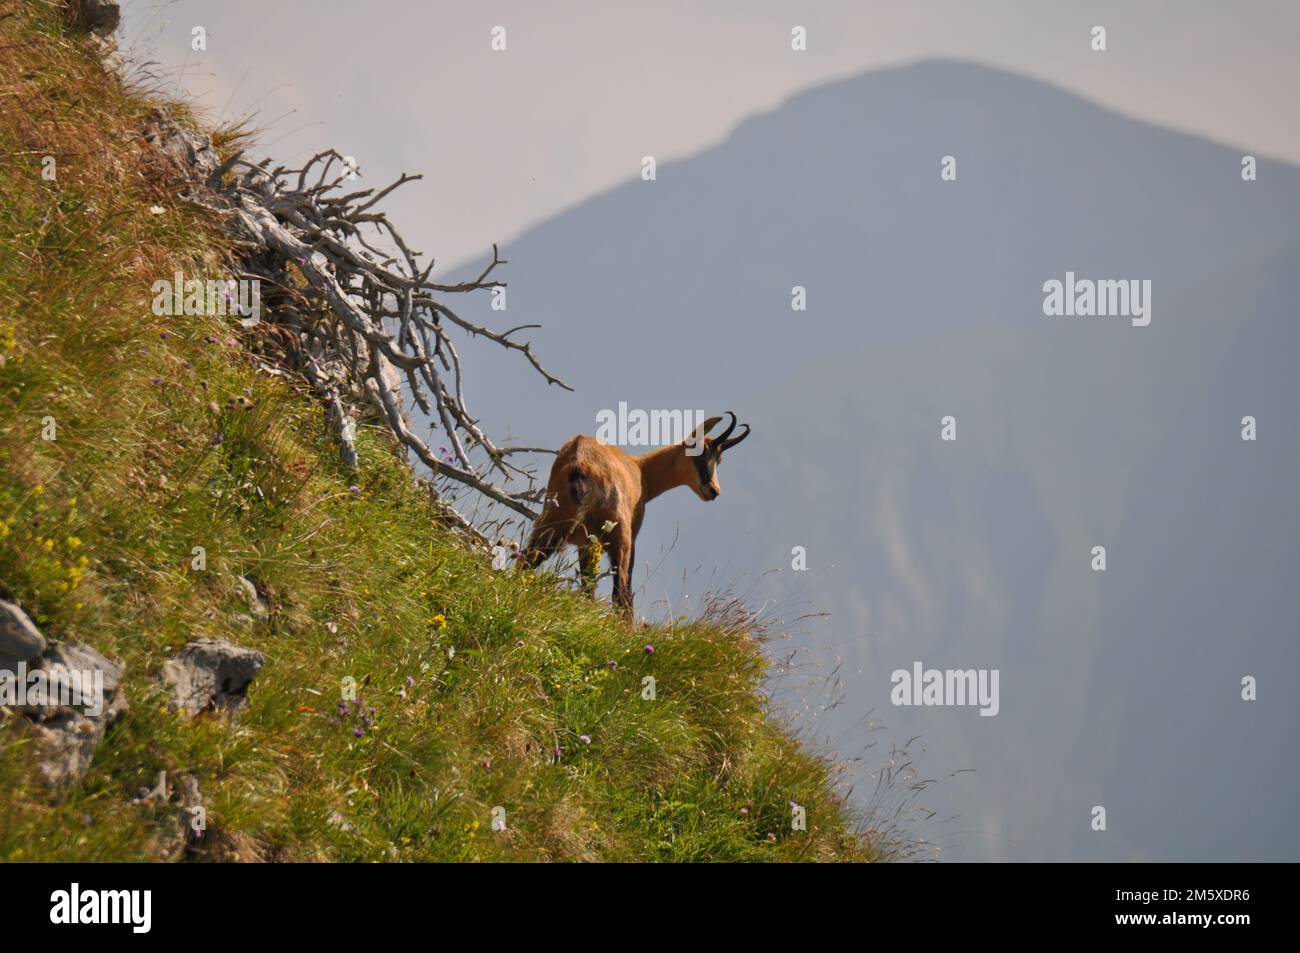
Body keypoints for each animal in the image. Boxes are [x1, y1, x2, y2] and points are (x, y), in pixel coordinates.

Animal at [520, 411, 751, 620]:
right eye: (700, 454)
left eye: (718, 459)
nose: (713, 491)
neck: (640, 470)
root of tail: (579, 464)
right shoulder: (630, 536)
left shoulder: (585, 545)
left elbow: (588, 585)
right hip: (618, 539)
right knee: (620, 592)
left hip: (551, 525)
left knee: (526, 561)